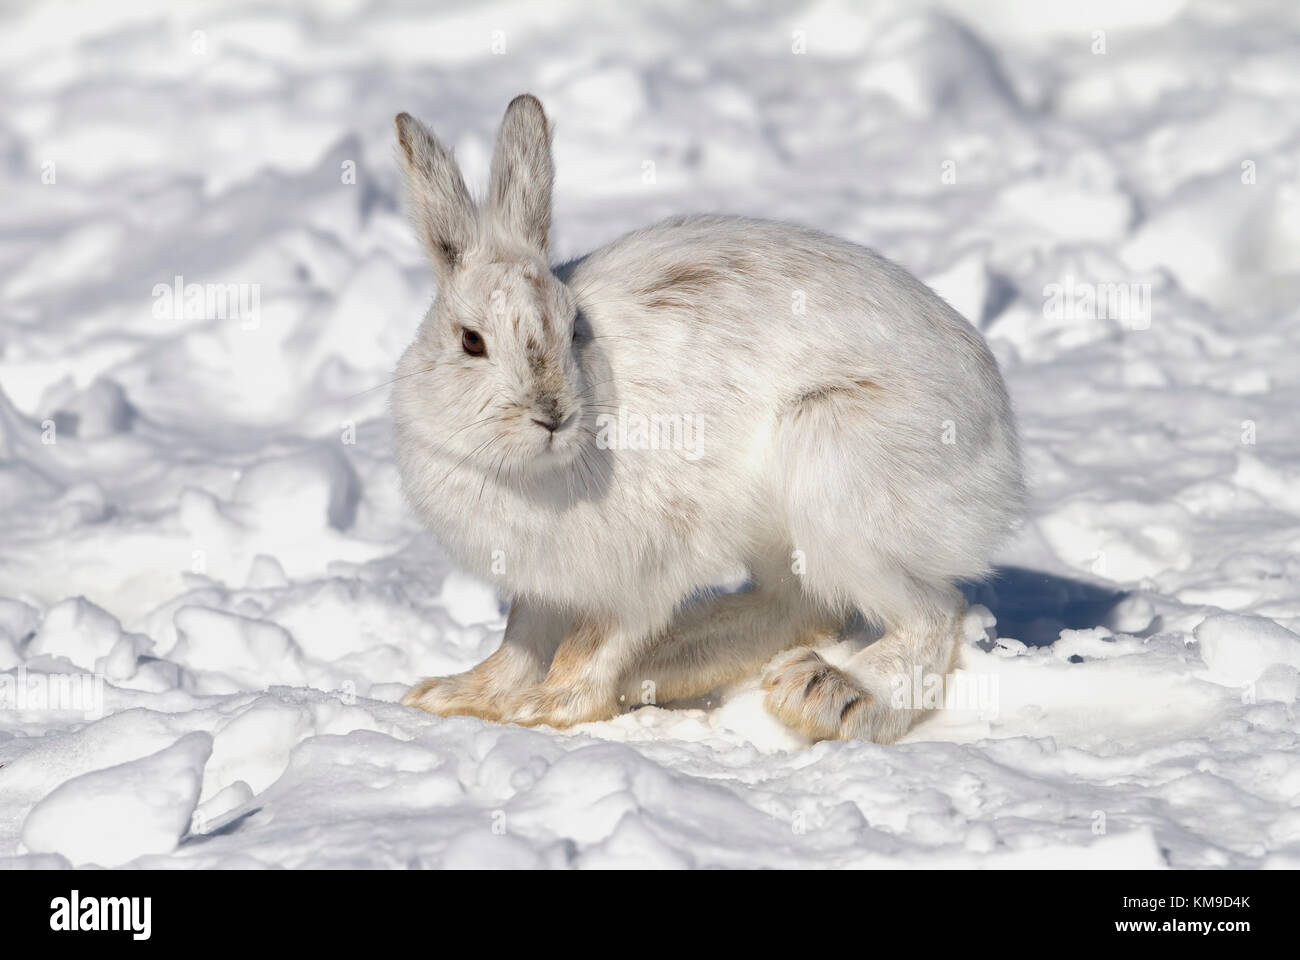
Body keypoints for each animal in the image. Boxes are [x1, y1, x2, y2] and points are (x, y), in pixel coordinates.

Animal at [392, 94, 1024, 743]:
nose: (553, 416)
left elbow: (590, 643)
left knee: (932, 614)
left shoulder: (641, 569)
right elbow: (519, 642)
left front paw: (547, 707)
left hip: (836, 474)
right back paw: (669, 666)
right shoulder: (541, 586)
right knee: (798, 606)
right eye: (470, 341)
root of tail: (1000, 440)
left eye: (573, 329)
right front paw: (452, 695)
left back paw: (830, 693)